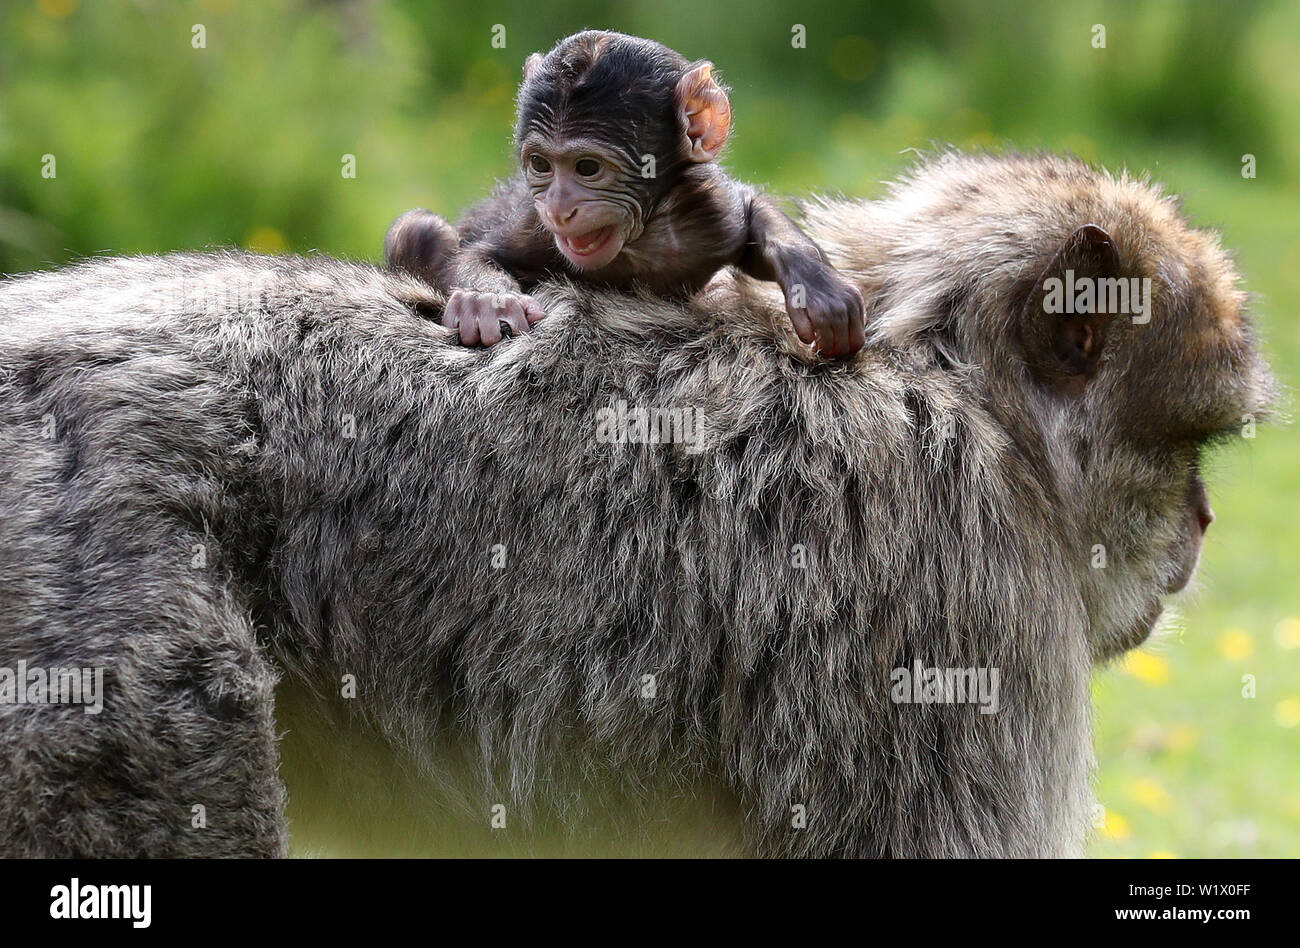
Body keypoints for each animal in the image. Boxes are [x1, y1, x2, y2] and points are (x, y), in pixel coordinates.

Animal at [384, 30, 866, 357]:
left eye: (587, 168)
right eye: (541, 165)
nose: (558, 207)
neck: (643, 235)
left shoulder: (709, 211)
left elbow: (749, 214)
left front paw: (816, 287)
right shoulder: (537, 227)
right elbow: (482, 254)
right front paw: (487, 301)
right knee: (419, 229)